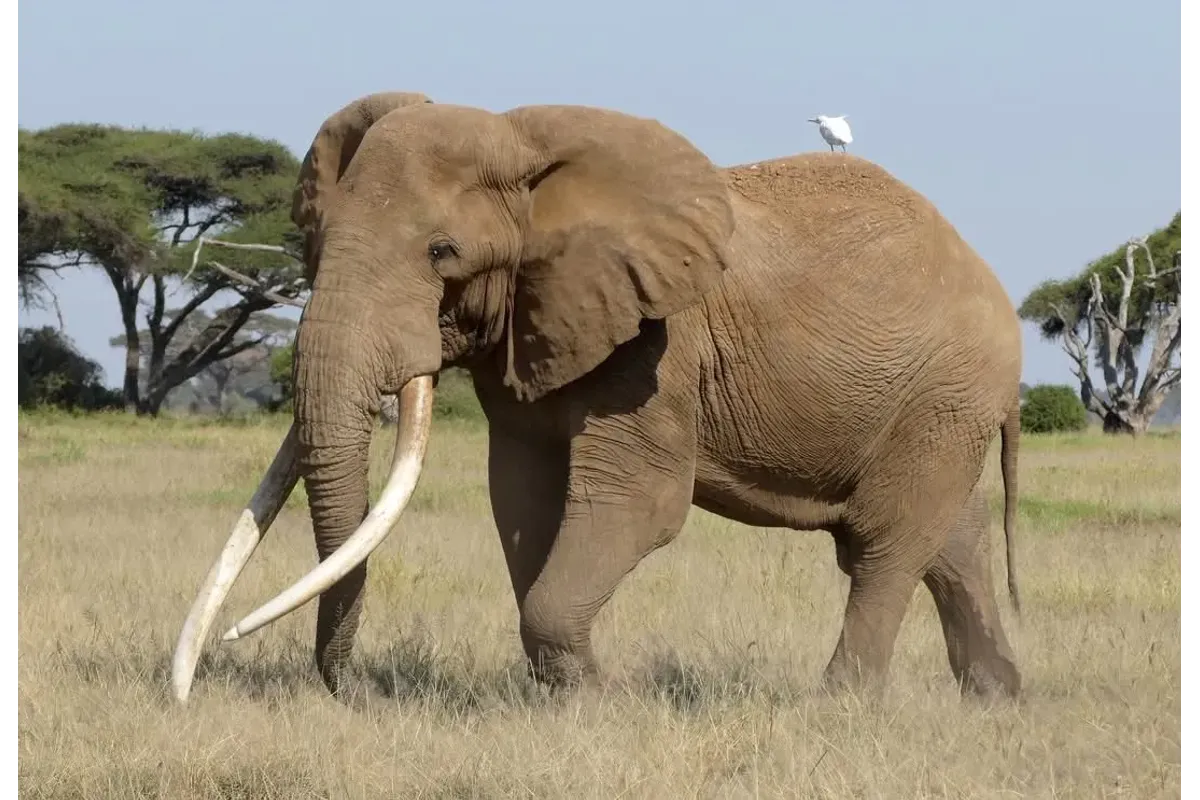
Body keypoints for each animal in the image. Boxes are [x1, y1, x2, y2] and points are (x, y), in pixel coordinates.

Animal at [171, 90, 1025, 705]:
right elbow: (523, 499)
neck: (525, 151)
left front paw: (600, 700)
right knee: (951, 539)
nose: (350, 690)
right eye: (314, 245)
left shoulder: (659, 344)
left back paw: (839, 705)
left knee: (885, 544)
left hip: (945, 394)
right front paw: (567, 698)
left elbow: (637, 502)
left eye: (442, 252)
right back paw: (996, 699)